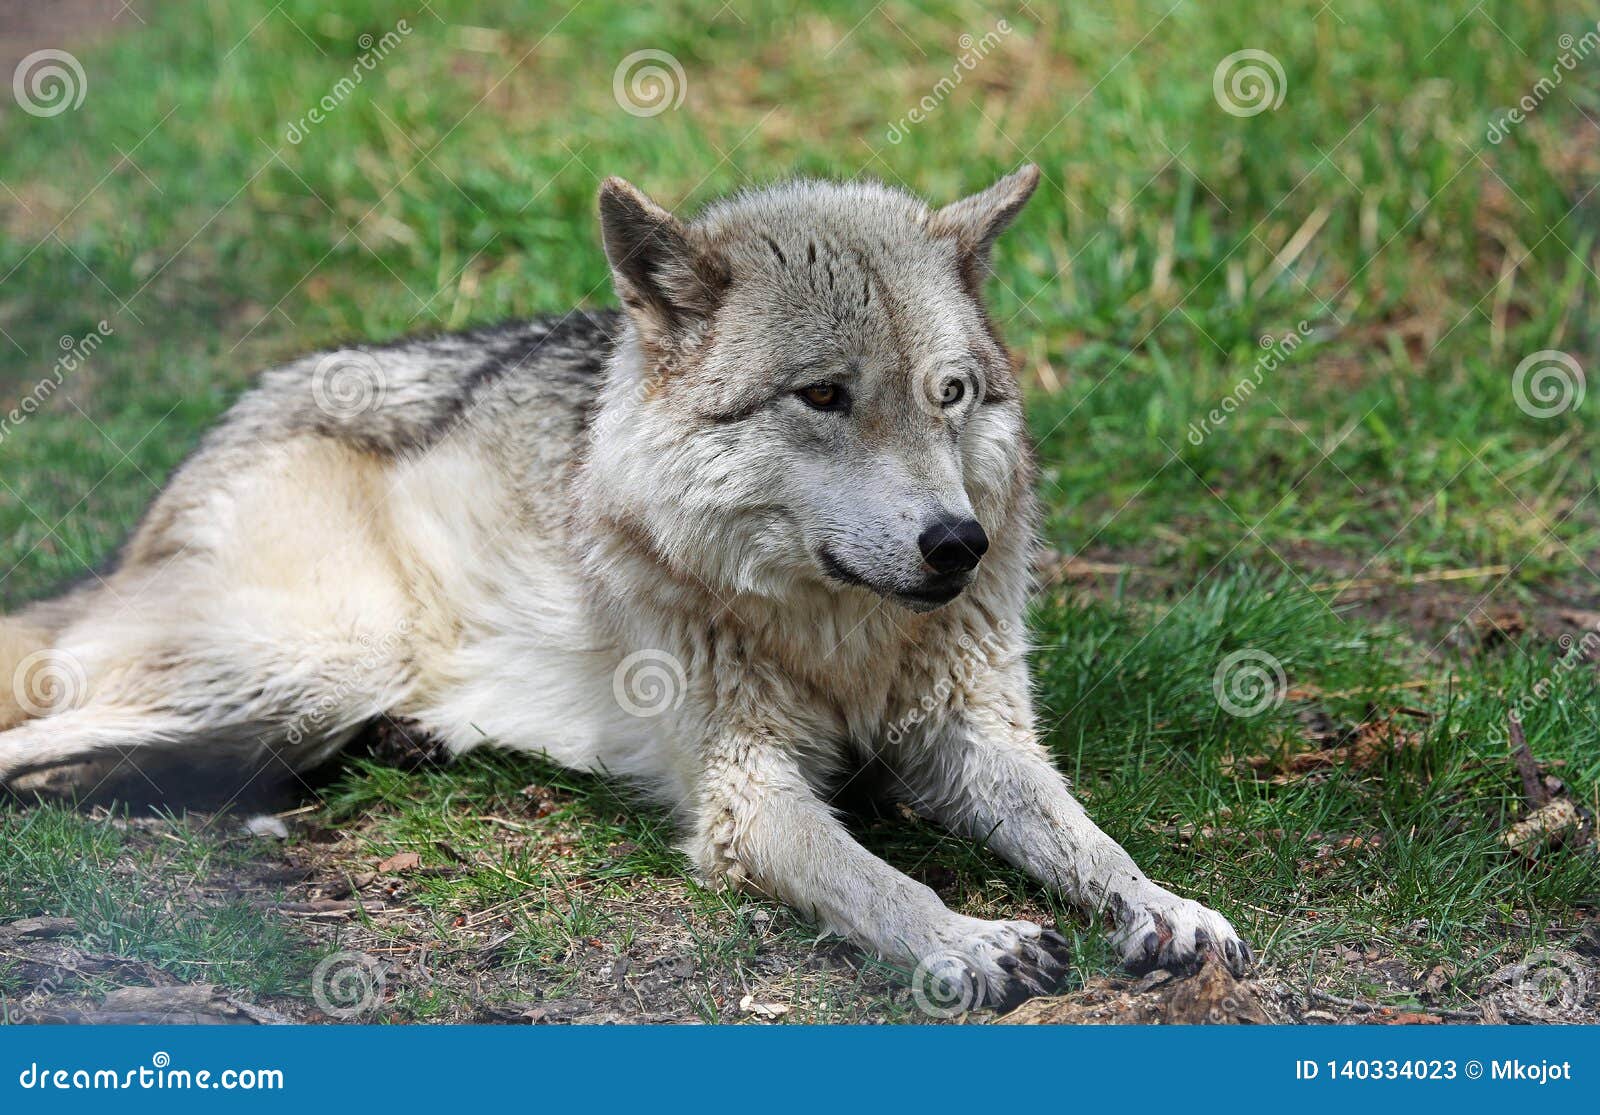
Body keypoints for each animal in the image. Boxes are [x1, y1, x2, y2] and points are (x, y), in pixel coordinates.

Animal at [0, 167, 1250, 1007]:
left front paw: (1169, 907)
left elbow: (1087, 837)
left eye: (950, 393)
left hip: (299, 704)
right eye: (823, 395)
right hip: (314, 664)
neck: (833, 633)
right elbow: (870, 877)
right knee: (39, 731)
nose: (960, 544)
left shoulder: (970, 735)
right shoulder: (748, 792)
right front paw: (969, 939)